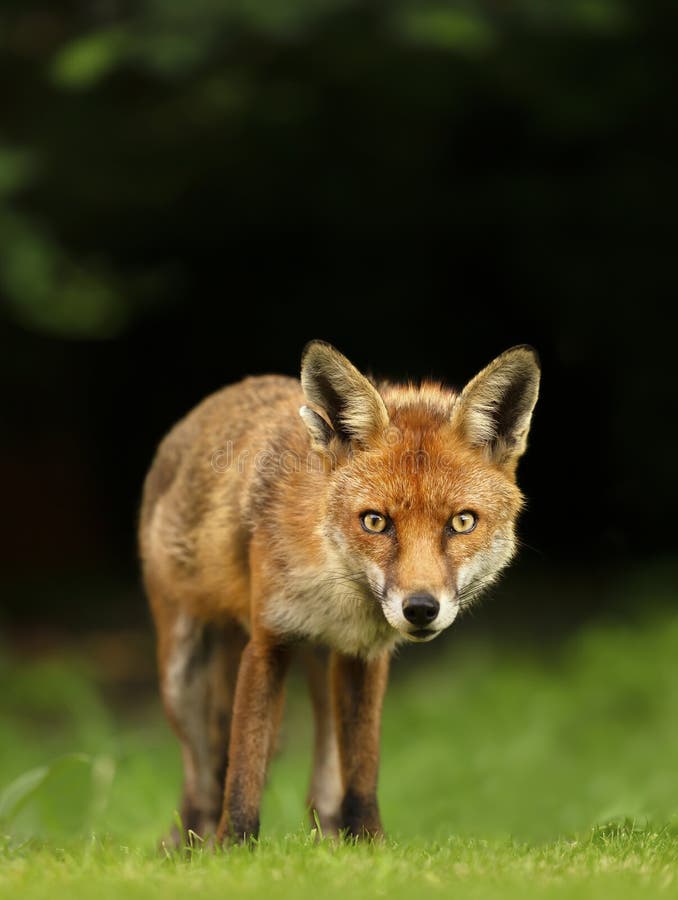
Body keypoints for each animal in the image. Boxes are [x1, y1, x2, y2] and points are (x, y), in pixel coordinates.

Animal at [138, 340, 540, 844]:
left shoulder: (365, 656)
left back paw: (330, 843)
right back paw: (191, 845)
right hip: (182, 677)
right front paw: (234, 850)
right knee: (202, 786)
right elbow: (244, 773)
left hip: (326, 672)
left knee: (323, 788)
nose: (420, 608)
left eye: (462, 522)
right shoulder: (268, 643)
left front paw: (372, 847)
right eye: (375, 521)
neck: (336, 595)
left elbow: (362, 774)